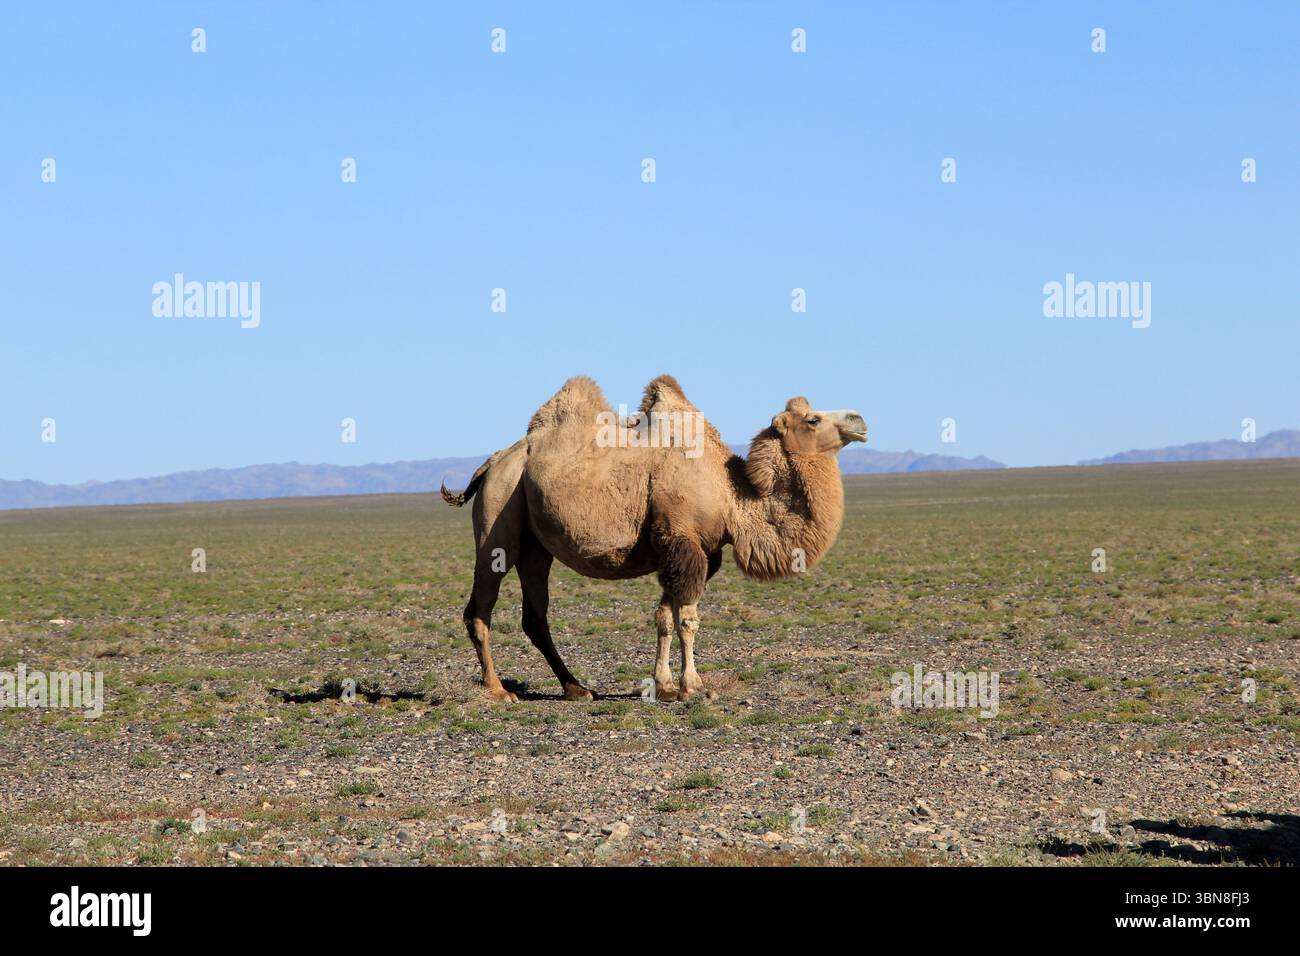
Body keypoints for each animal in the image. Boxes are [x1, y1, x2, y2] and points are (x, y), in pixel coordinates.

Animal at [441, 374, 866, 702]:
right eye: (813, 419)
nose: (860, 419)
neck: (730, 493)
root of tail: (493, 462)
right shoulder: (682, 540)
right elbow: (687, 620)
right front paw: (694, 687)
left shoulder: (690, 551)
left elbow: (664, 616)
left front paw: (664, 686)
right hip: (499, 513)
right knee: (481, 606)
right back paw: (499, 691)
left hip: (535, 543)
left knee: (535, 614)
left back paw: (576, 688)